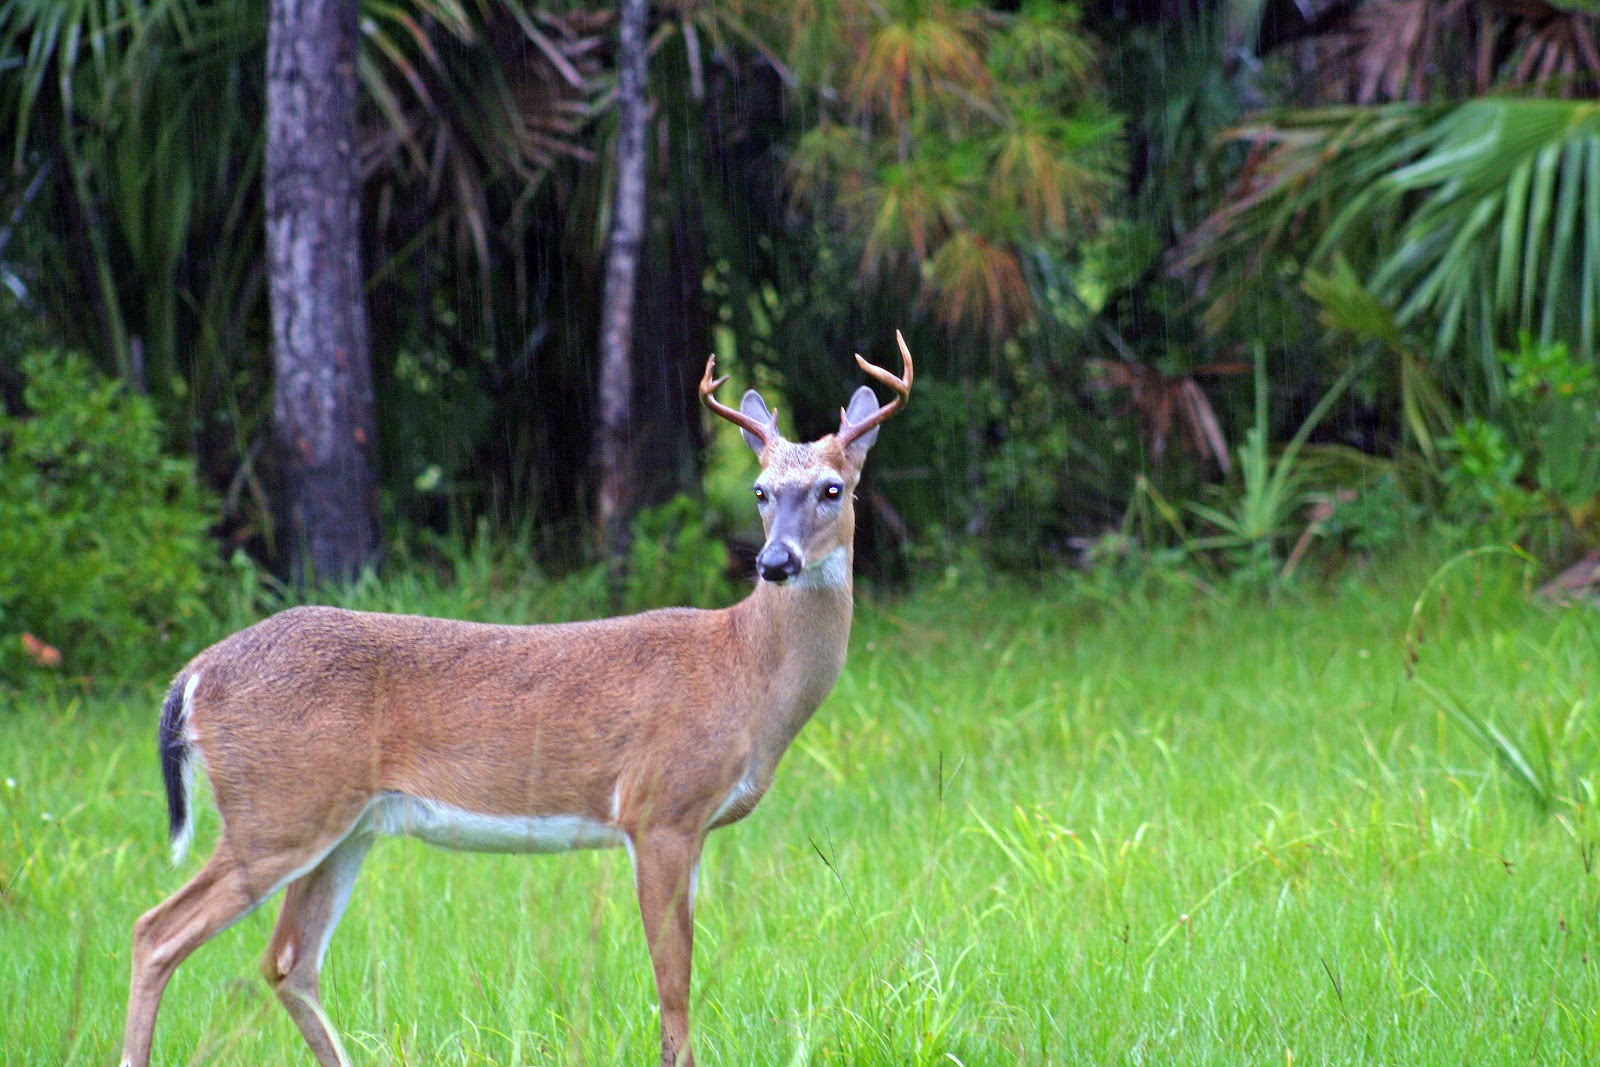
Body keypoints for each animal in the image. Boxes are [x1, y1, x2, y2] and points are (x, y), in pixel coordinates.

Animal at [119, 334, 913, 1067]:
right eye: (759, 490)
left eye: (833, 488)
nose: (774, 561)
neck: (744, 672)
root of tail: (194, 675)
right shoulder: (660, 808)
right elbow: (674, 988)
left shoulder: (690, 827)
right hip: (275, 809)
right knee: (156, 931)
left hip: (343, 825)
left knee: (288, 961)